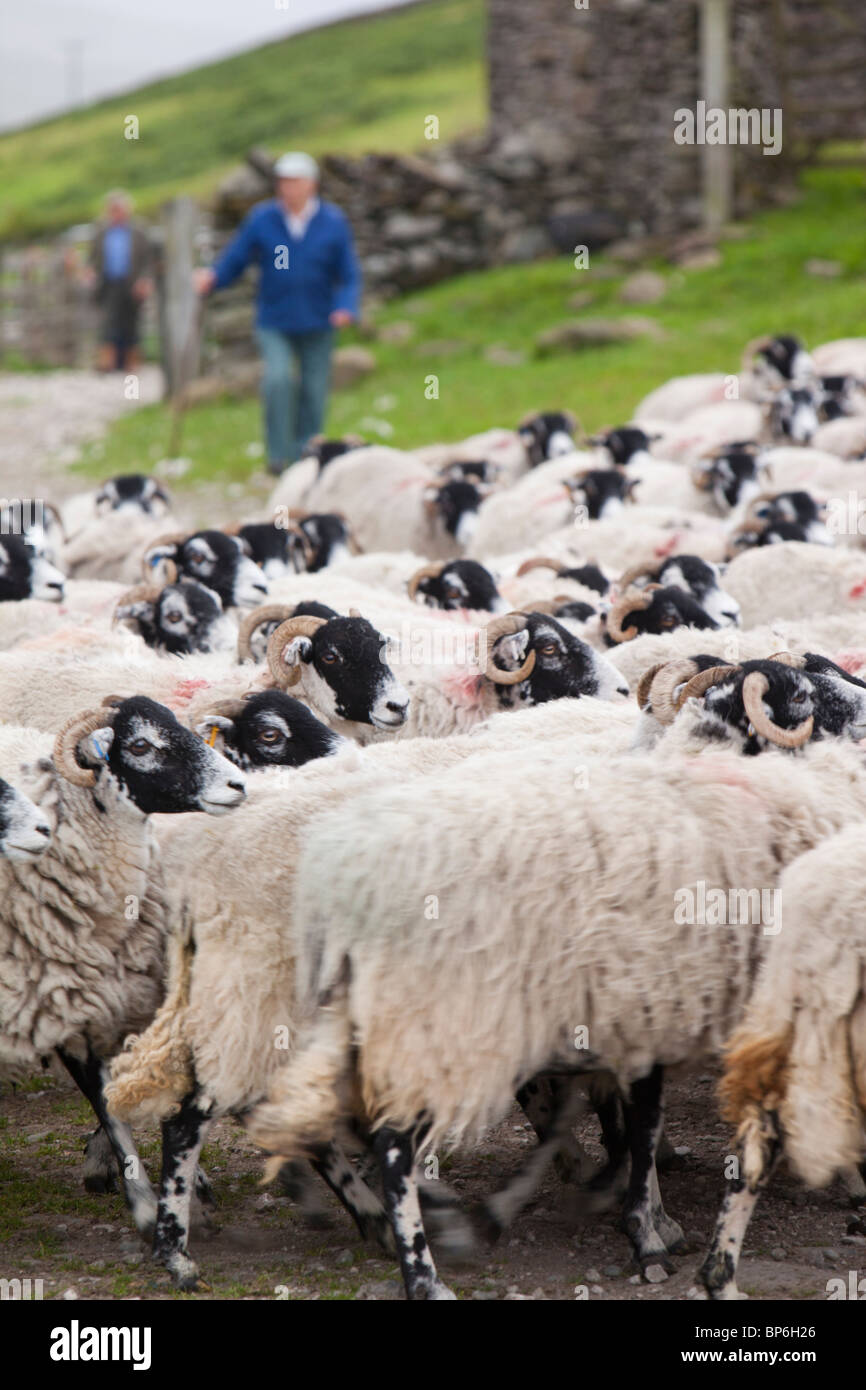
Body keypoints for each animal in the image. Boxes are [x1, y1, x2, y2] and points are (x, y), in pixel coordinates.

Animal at [0, 696, 245, 1233]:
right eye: (140, 746)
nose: (239, 784)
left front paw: (193, 1187)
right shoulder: (63, 1015)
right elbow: (109, 1111)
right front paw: (146, 1206)